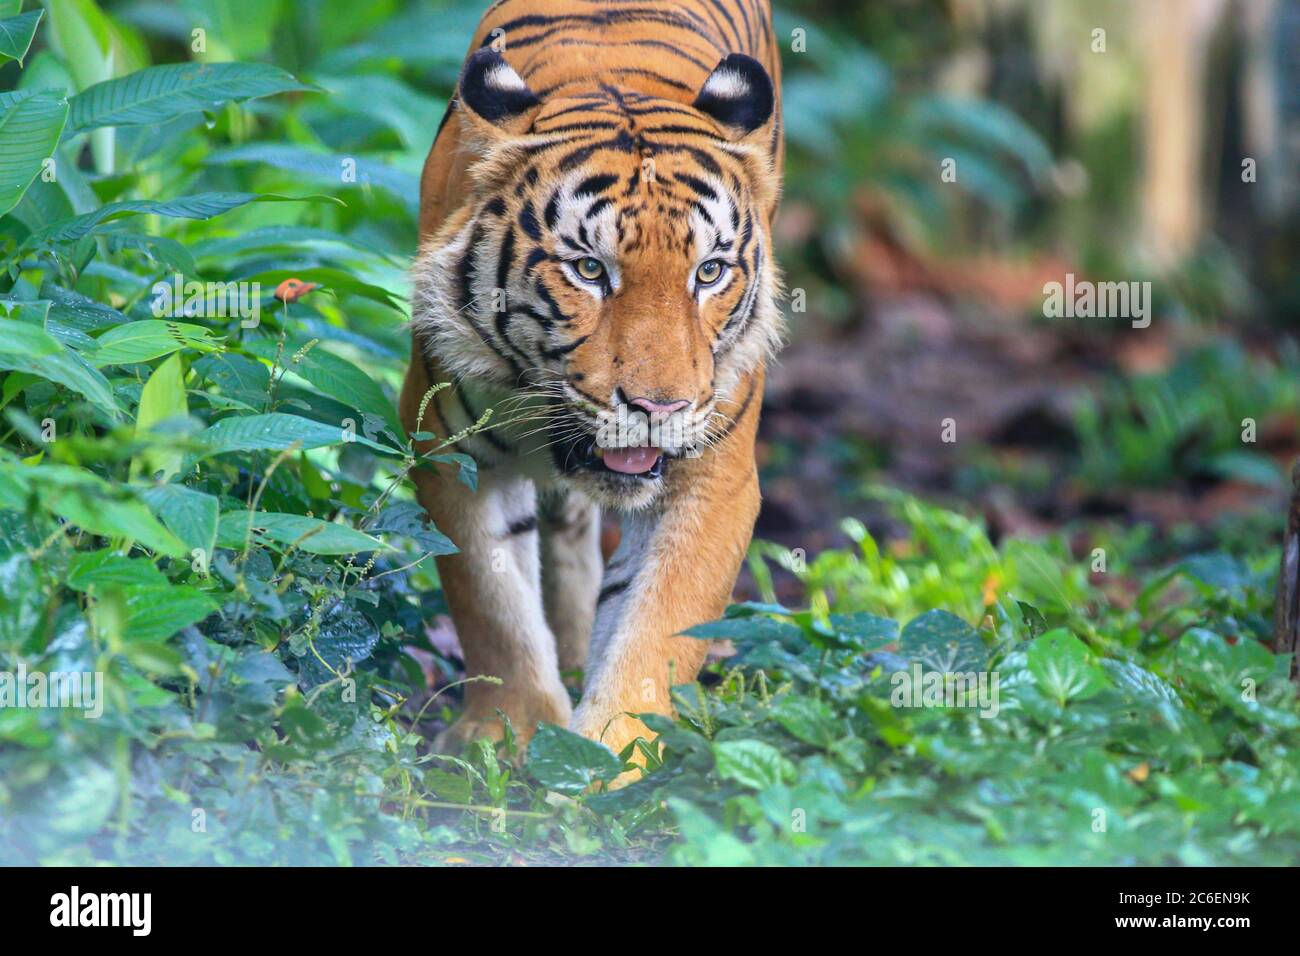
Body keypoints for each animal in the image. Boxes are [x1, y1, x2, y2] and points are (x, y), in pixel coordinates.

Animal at [400, 0, 784, 775]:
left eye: (708, 272)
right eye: (588, 270)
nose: (659, 409)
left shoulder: (715, 477)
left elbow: (661, 622)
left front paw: (610, 756)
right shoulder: (448, 449)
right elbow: (491, 599)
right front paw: (505, 734)